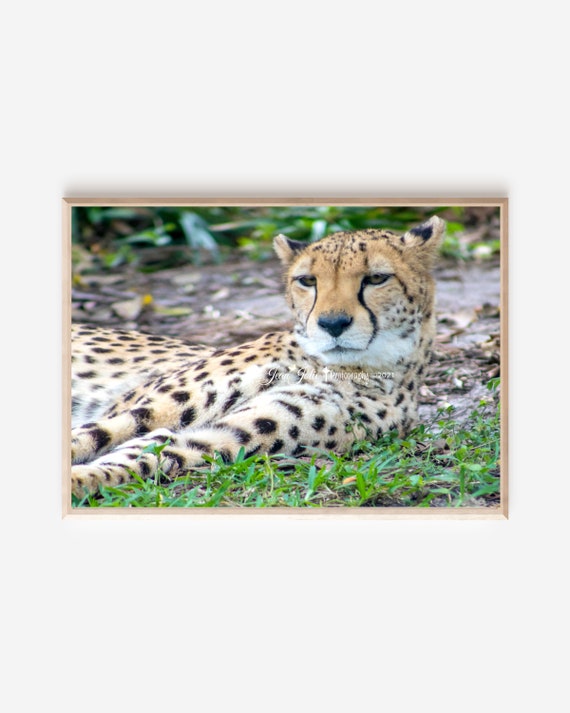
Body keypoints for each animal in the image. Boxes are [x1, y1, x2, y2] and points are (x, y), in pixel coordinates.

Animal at [70, 215, 445, 498]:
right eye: (307, 280)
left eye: (377, 278)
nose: (333, 324)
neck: (332, 366)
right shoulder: (142, 410)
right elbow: (91, 435)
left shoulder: (228, 436)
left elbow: (149, 454)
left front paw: (79, 481)